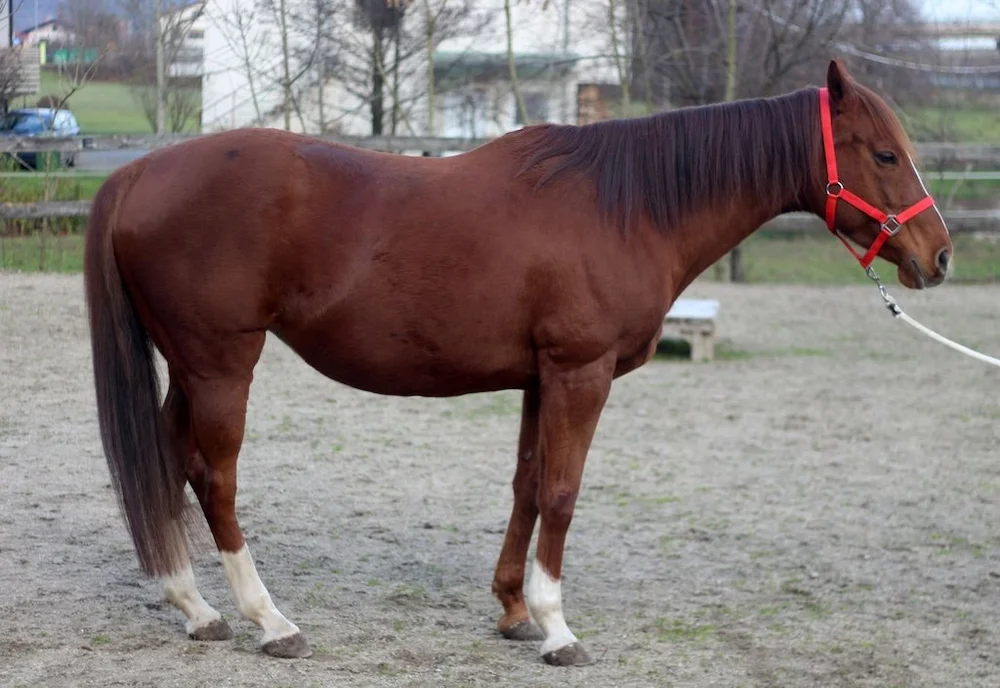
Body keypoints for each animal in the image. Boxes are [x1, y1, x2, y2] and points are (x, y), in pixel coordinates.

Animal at [83, 59, 952, 666]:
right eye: (883, 155)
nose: (939, 256)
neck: (623, 207)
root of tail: (140, 170)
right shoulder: (580, 372)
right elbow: (563, 495)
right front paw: (558, 629)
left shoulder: (541, 378)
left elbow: (528, 486)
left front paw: (512, 611)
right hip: (223, 365)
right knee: (213, 477)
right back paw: (269, 621)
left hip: (190, 368)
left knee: (166, 461)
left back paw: (194, 607)